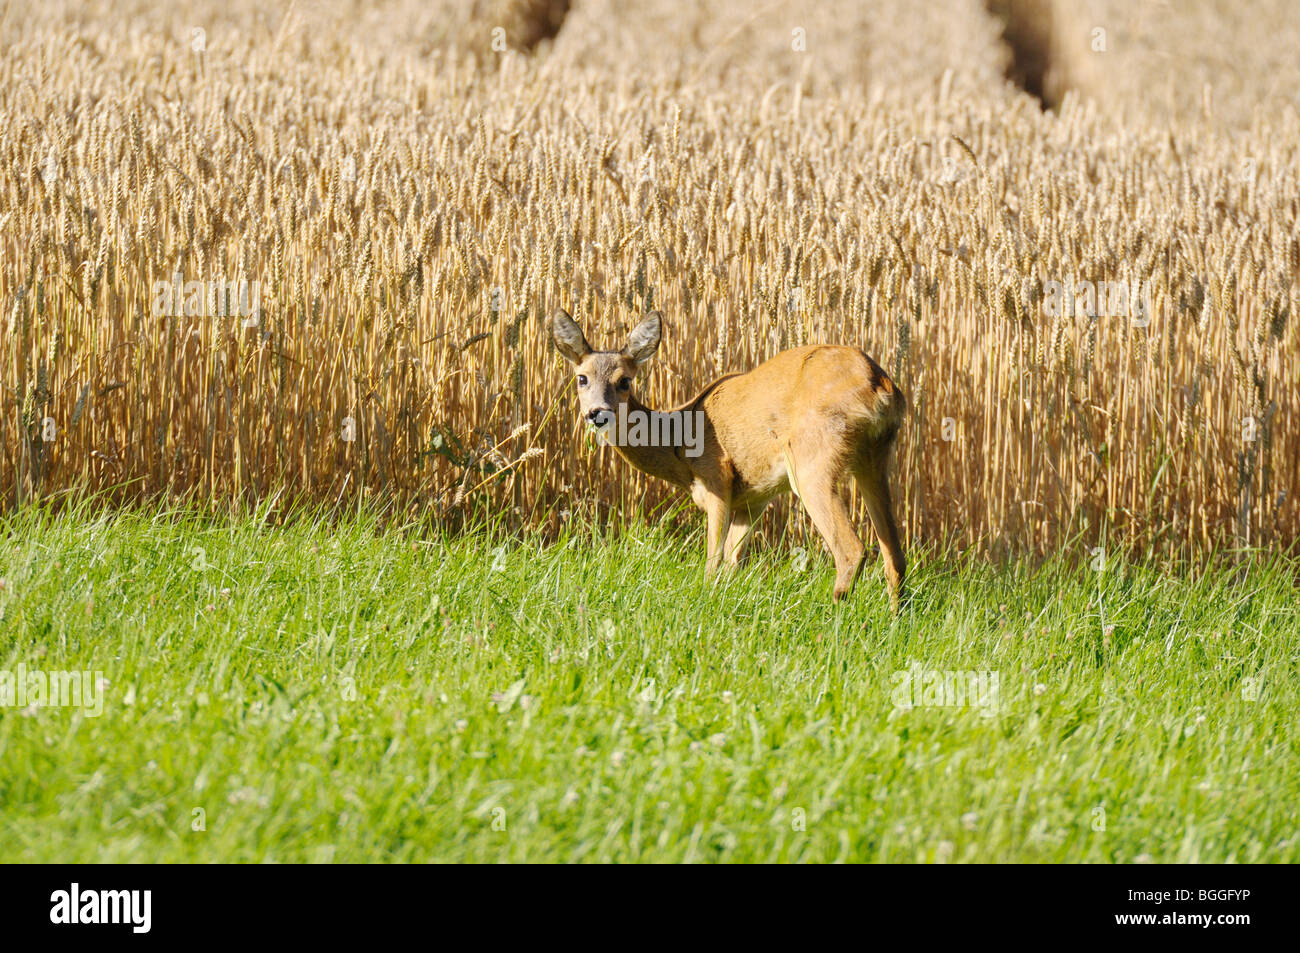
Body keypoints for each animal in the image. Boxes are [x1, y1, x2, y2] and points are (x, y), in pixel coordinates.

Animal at [549, 308, 907, 610]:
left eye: (624, 380)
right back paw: (894, 619)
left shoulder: (716, 478)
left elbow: (714, 561)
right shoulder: (753, 498)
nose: (597, 413)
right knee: (895, 555)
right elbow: (733, 563)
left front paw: (704, 602)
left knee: (852, 550)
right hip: (875, 458)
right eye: (582, 378)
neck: (679, 442)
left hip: (813, 461)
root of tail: (879, 385)